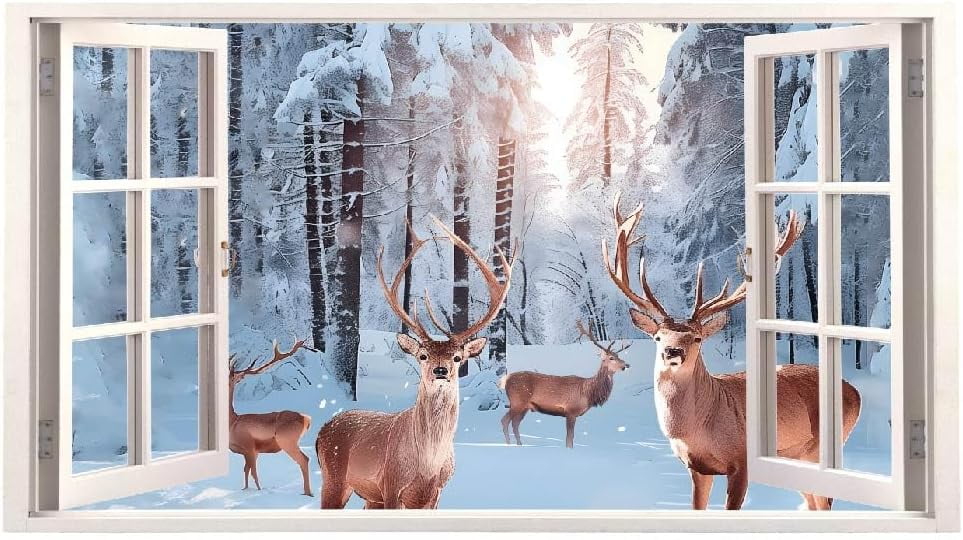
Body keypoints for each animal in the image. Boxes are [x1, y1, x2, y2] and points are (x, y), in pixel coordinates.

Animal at [229, 338, 313, 496]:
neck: (232, 422)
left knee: (304, 459)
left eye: (231, 378)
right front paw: (245, 489)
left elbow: (253, 473)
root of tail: (307, 419)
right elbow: (246, 471)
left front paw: (258, 490)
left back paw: (307, 492)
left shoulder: (249, 446)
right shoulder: (251, 452)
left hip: (287, 439)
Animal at [314, 218, 516, 509]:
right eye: (423, 356)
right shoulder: (391, 486)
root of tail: (322, 430)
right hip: (334, 479)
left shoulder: (435, 495)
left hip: (369, 497)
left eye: (457, 357)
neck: (427, 466)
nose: (440, 370)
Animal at [499, 320, 631, 448]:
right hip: (517, 402)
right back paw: (509, 445)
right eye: (611, 358)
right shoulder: (571, 410)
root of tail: (505, 379)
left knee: (515, 423)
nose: (626, 365)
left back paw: (519, 445)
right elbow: (569, 439)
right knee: (505, 420)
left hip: (524, 407)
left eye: (618, 356)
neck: (588, 393)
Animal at [602, 194, 861, 511]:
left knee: (824, 502)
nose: (672, 351)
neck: (698, 430)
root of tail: (854, 392)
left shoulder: (741, 461)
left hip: (820, 449)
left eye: (697, 338)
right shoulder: (696, 467)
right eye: (658, 337)